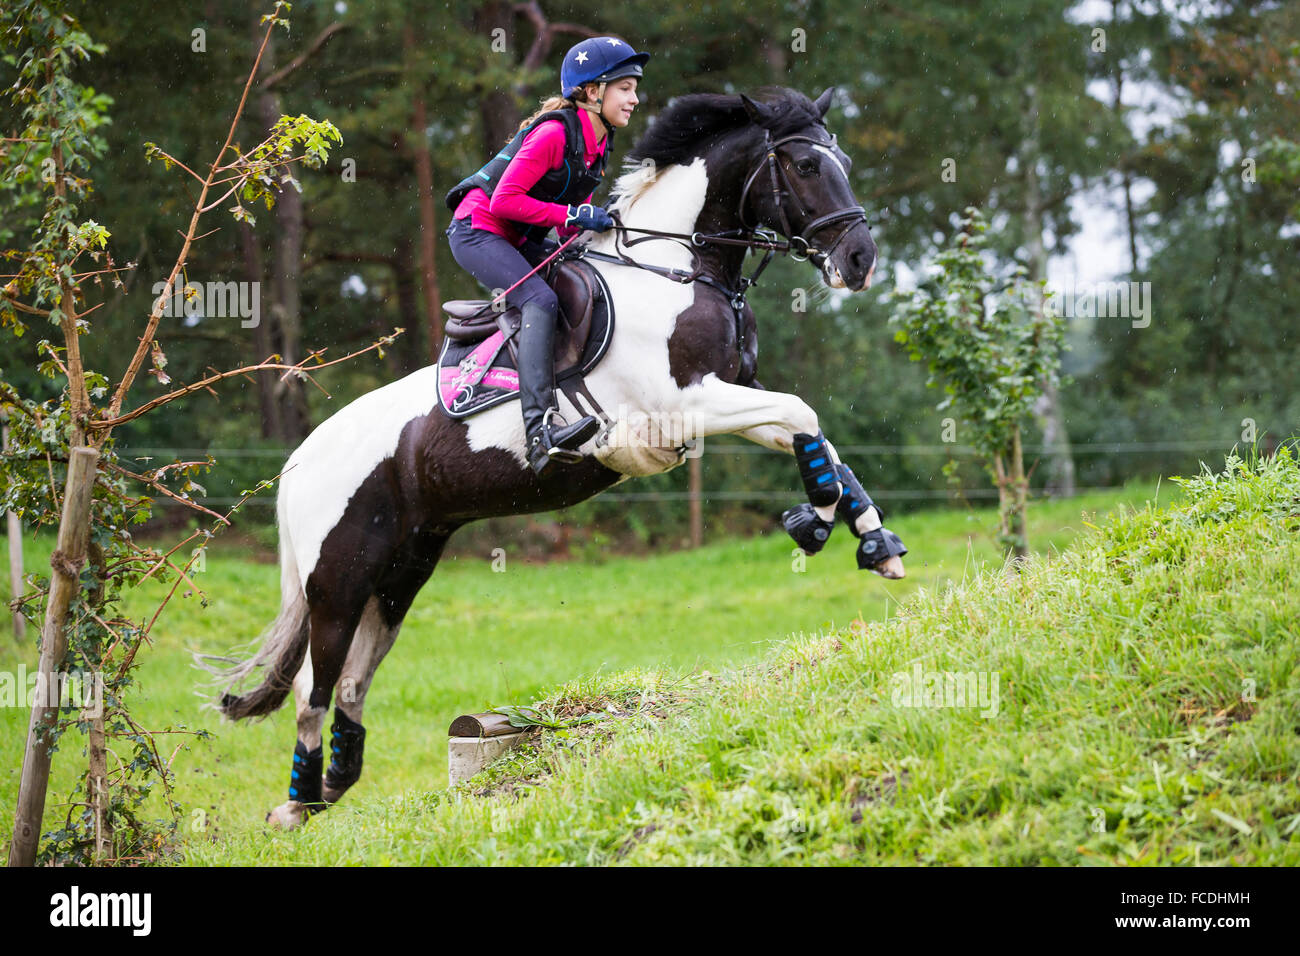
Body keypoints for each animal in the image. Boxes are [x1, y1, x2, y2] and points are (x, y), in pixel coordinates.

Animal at [204, 86, 909, 829]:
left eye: (842, 161)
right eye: (804, 165)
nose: (859, 259)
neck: (676, 270)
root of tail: (296, 465)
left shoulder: (724, 401)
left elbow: (816, 437)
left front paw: (875, 542)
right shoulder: (684, 405)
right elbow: (805, 414)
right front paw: (817, 519)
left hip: (404, 567)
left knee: (356, 678)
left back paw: (335, 779)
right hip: (338, 578)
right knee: (316, 681)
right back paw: (297, 803)